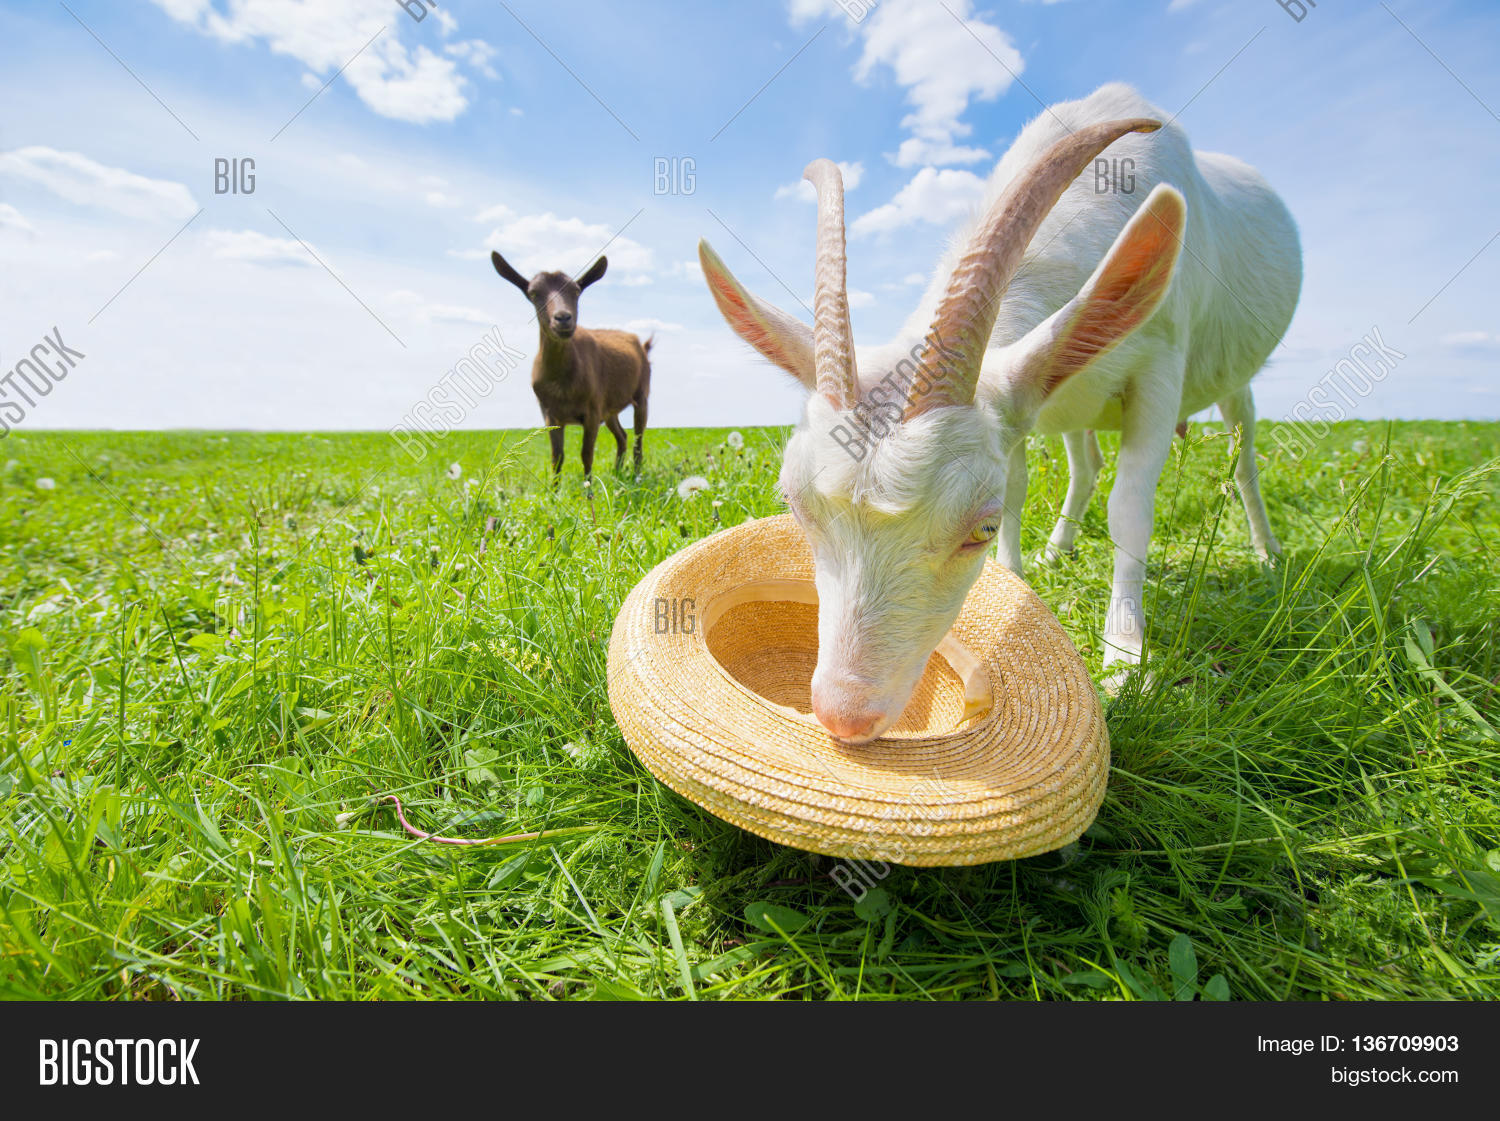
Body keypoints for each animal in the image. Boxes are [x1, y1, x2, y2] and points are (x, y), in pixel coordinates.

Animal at [490, 251, 652, 479]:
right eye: (533, 293)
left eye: (576, 291)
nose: (563, 318)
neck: (562, 383)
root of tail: (642, 345)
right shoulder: (551, 415)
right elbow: (556, 458)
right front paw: (553, 489)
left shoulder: (592, 411)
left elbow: (586, 454)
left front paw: (589, 489)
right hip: (610, 408)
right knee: (622, 436)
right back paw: (616, 472)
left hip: (641, 394)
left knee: (638, 439)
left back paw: (636, 476)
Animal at [698, 83, 1301, 742]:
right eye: (795, 505)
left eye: (978, 531)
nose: (846, 715)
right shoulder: (1016, 419)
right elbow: (1019, 487)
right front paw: (1020, 580)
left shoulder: (1160, 367)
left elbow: (1128, 508)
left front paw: (1125, 661)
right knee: (1085, 463)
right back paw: (1058, 549)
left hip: (1232, 379)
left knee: (1242, 455)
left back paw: (1268, 552)